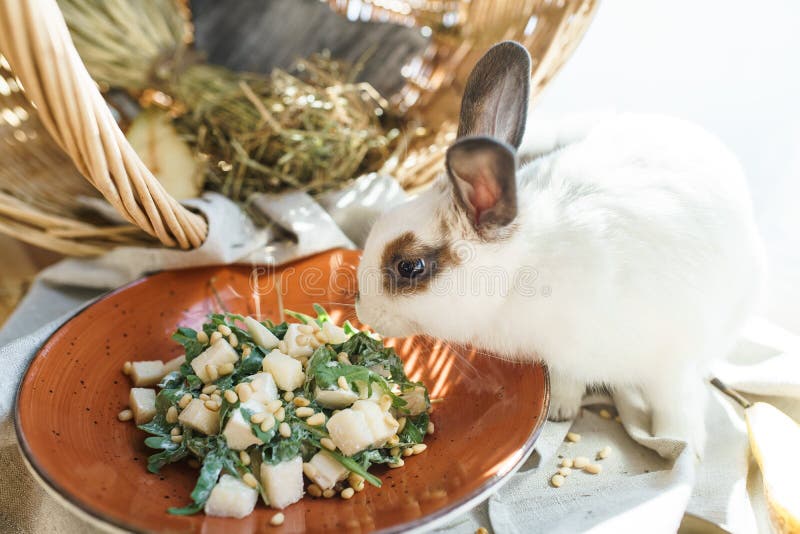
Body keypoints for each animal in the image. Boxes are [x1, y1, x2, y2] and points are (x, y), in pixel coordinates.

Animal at [355, 41, 765, 456]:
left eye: (409, 267)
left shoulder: (672, 359)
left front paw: (682, 443)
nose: (361, 308)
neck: (520, 274)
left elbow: (676, 401)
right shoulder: (563, 358)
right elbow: (569, 379)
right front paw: (560, 410)